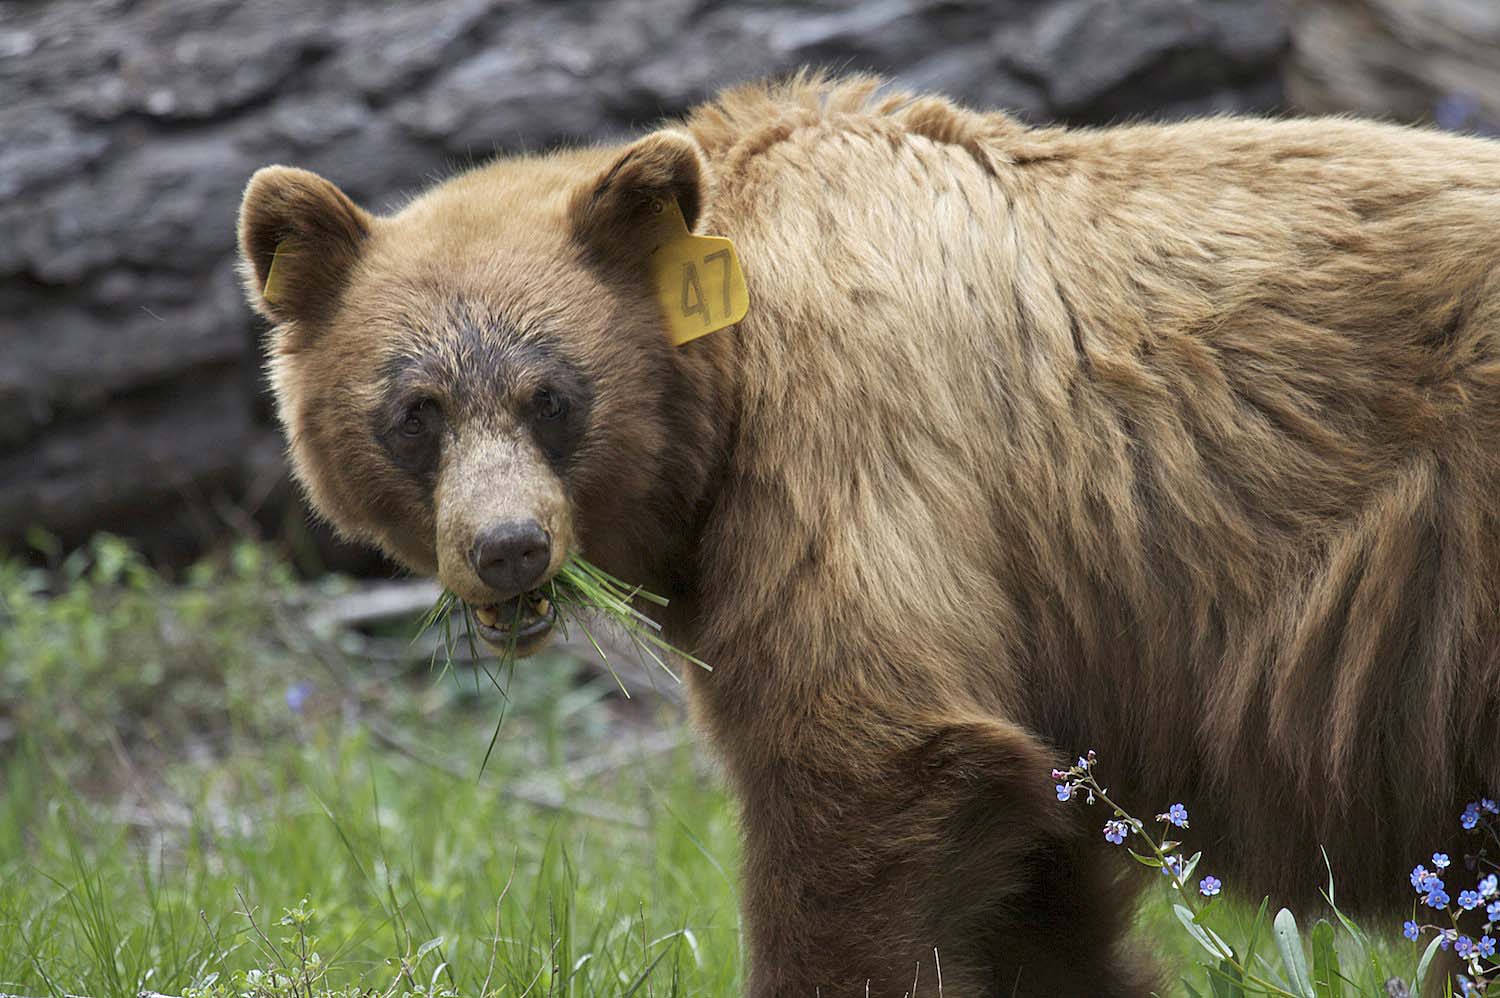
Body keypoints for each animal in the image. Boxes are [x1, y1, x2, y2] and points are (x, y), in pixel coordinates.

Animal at [237, 74, 1500, 996]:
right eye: (418, 409)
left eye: (553, 395)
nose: (507, 546)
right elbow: (1038, 882)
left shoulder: (848, 435)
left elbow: (865, 755)